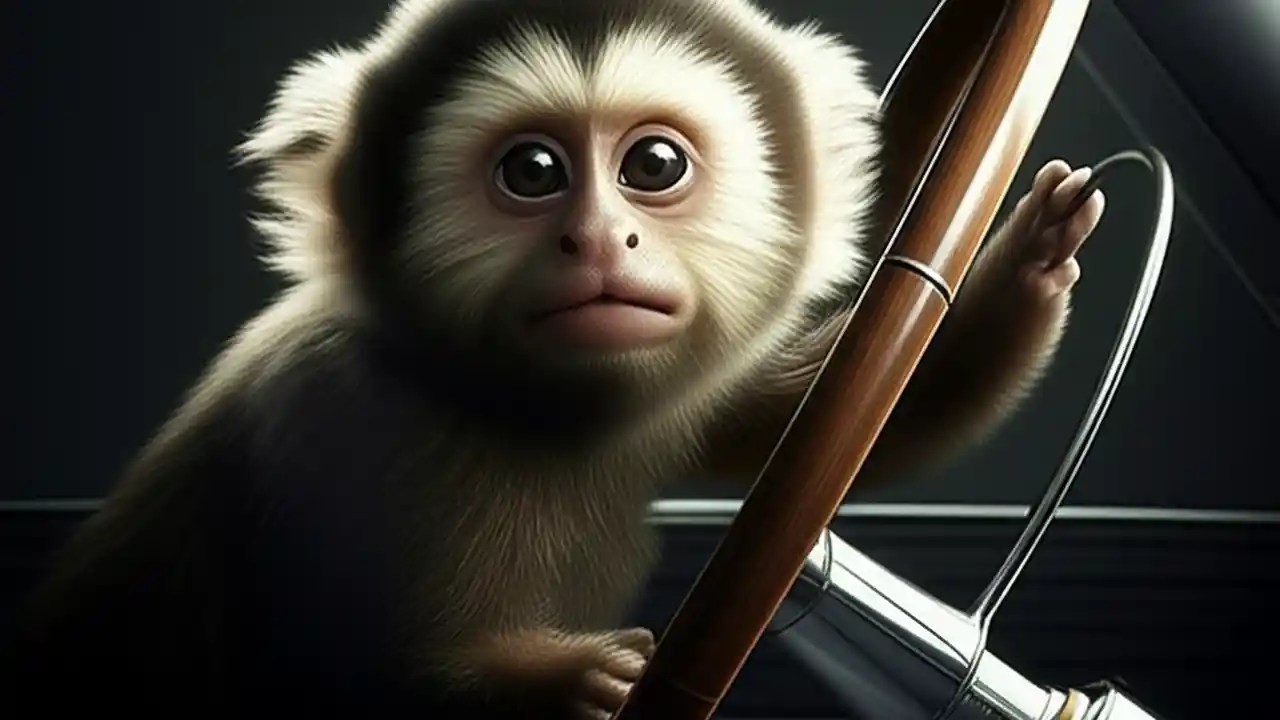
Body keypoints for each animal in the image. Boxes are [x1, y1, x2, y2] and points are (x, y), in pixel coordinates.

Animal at [8, 0, 1106, 716]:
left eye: (653, 165)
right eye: (532, 172)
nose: (597, 240)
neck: (507, 405)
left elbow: (803, 430)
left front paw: (1028, 261)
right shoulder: (329, 416)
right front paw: (564, 680)